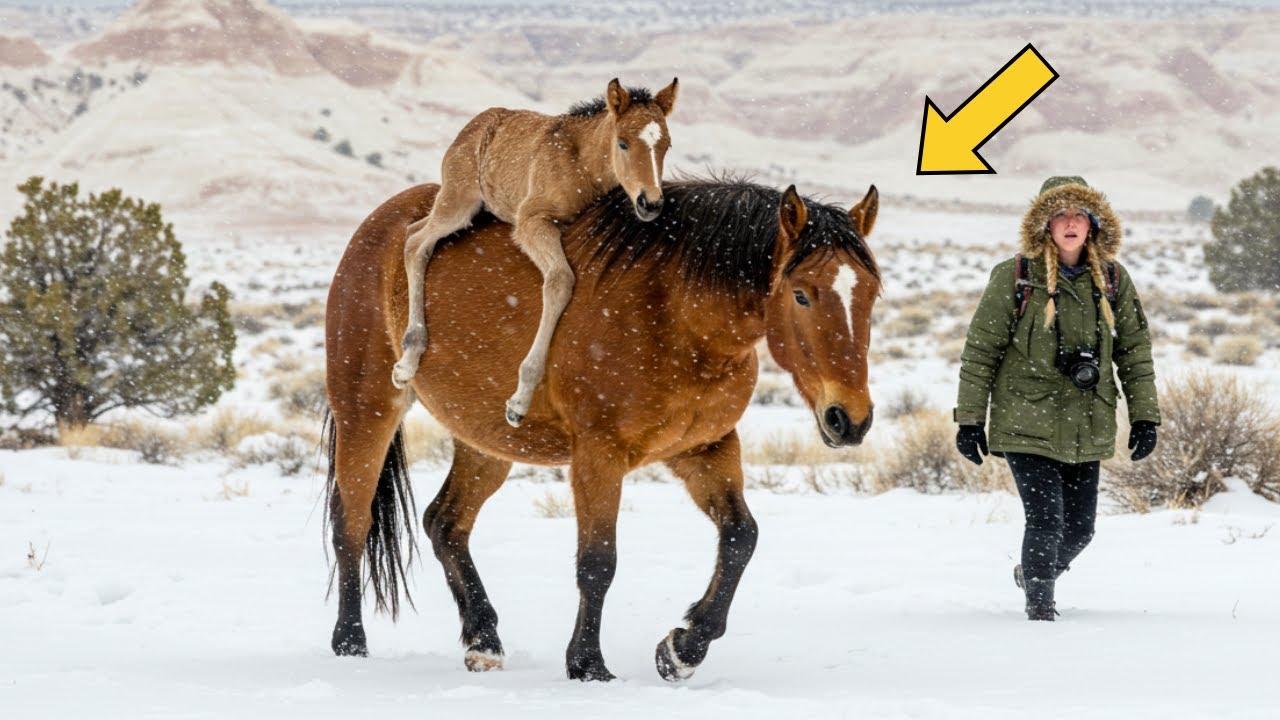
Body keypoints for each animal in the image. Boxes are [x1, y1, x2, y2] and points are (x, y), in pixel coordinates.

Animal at [323, 177, 881, 682]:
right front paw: (588, 664)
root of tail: (379, 225)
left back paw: (484, 641)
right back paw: (350, 642)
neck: (674, 313)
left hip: (488, 441)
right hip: (367, 410)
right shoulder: (599, 454)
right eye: (802, 295)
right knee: (352, 522)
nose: (849, 419)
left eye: (872, 294)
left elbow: (741, 537)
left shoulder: (705, 447)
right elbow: (598, 562)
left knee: (446, 522)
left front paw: (683, 648)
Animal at [392, 78, 679, 432]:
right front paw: (518, 403)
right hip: (458, 202)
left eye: (667, 146)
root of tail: (471, 128)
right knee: (416, 243)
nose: (650, 204)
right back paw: (407, 361)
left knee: (415, 231)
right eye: (623, 143)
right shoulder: (531, 221)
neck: (581, 163)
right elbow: (559, 280)